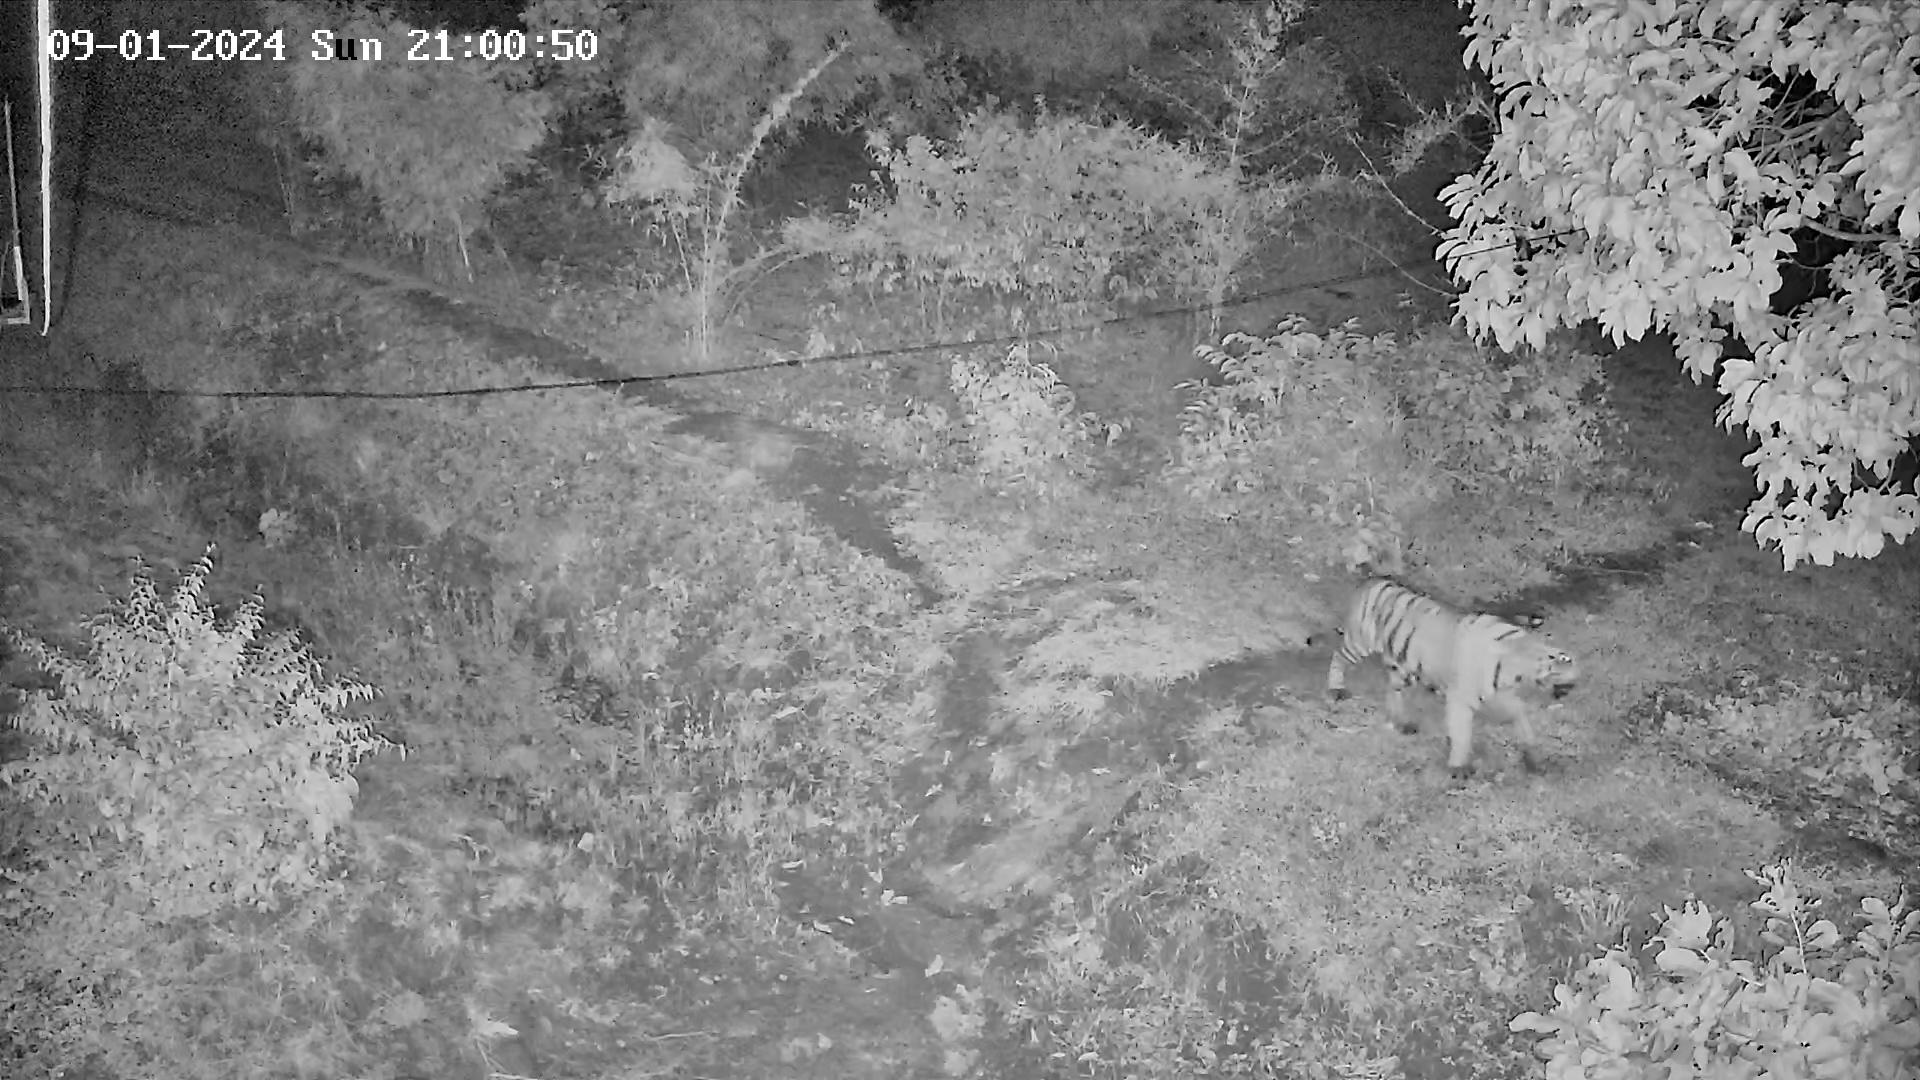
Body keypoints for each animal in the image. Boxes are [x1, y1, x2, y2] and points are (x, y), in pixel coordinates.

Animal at [1326, 578, 1578, 778]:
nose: (1575, 685)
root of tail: (1371, 580)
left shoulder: (1499, 698)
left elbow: (1519, 718)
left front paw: (1532, 758)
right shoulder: (1461, 698)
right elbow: (1462, 734)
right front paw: (1459, 768)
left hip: (1402, 668)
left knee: (1392, 689)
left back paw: (1402, 722)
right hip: (1360, 644)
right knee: (1338, 657)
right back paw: (1335, 690)